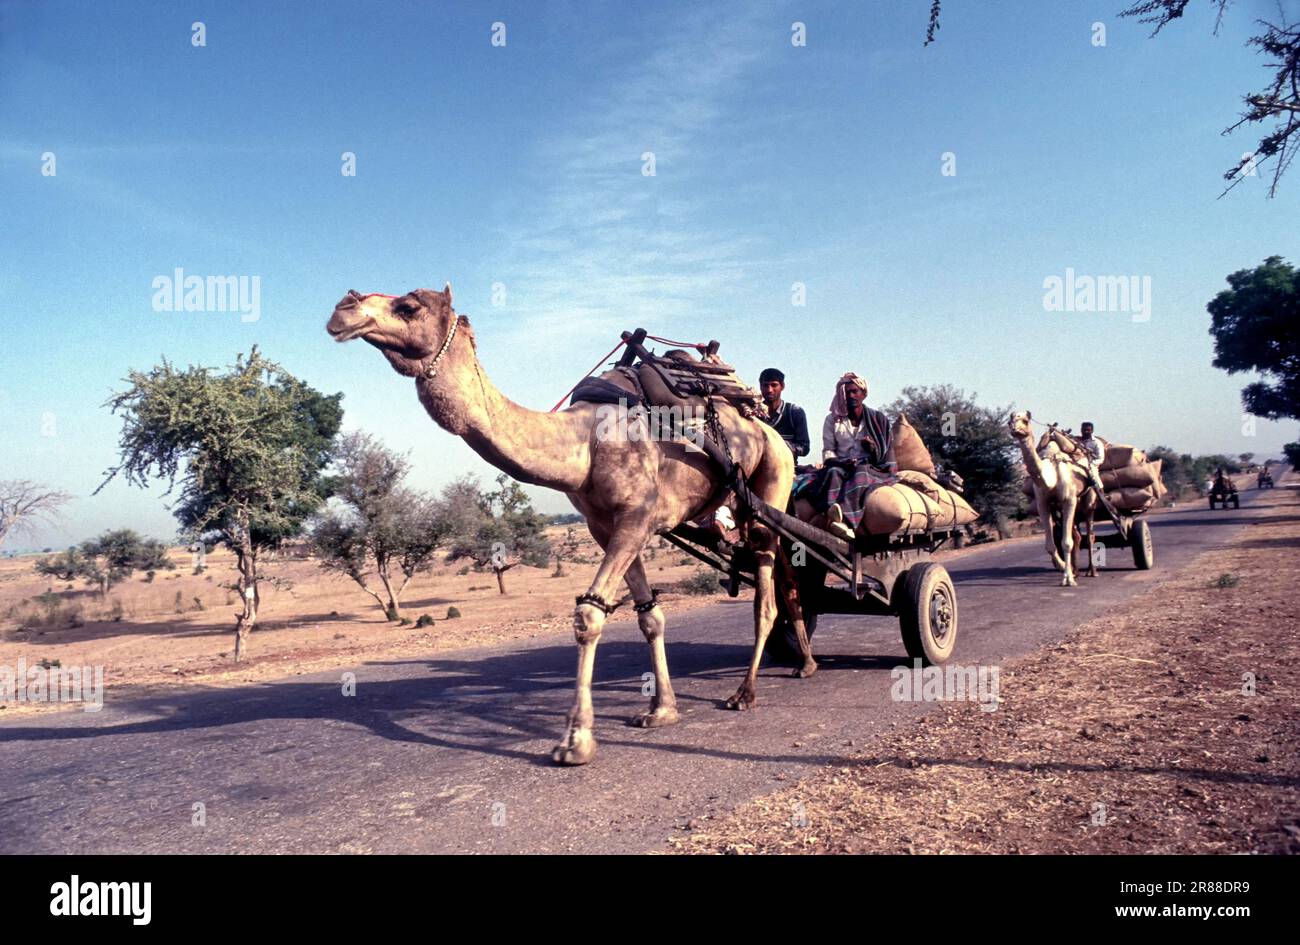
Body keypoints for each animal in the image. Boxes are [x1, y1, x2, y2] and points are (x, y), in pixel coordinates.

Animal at [326, 285, 815, 765]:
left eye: (409, 306)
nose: (343, 308)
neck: (584, 444)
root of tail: (767, 428)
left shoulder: (638, 515)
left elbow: (588, 615)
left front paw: (574, 740)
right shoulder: (606, 525)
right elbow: (649, 616)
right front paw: (661, 710)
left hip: (772, 483)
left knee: (767, 592)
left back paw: (746, 691)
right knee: (785, 583)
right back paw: (803, 663)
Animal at [1008, 411, 1098, 586]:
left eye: (1025, 420)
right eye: (1010, 421)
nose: (1015, 429)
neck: (1051, 476)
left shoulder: (1069, 500)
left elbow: (1066, 542)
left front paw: (1068, 579)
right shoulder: (1043, 504)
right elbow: (1051, 545)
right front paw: (1064, 568)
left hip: (1089, 500)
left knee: (1090, 535)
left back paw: (1092, 571)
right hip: (1061, 509)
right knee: (1076, 536)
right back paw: (1076, 570)